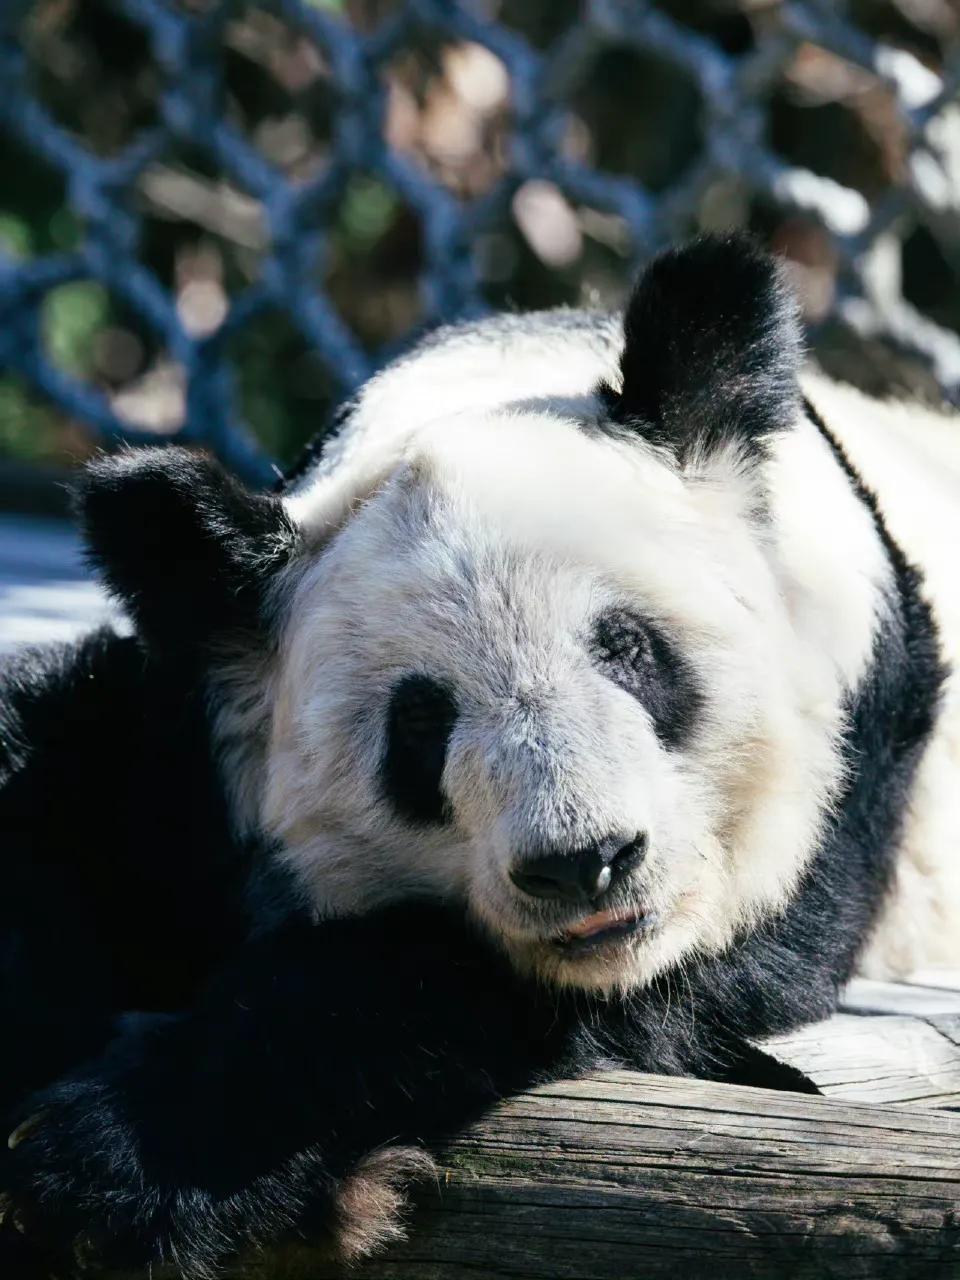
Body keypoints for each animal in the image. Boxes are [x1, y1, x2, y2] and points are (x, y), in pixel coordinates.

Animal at [1, 233, 957, 1278]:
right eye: (421, 725)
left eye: (627, 649)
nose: (584, 863)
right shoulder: (193, 720)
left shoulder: (856, 746)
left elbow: (435, 985)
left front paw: (126, 1163)